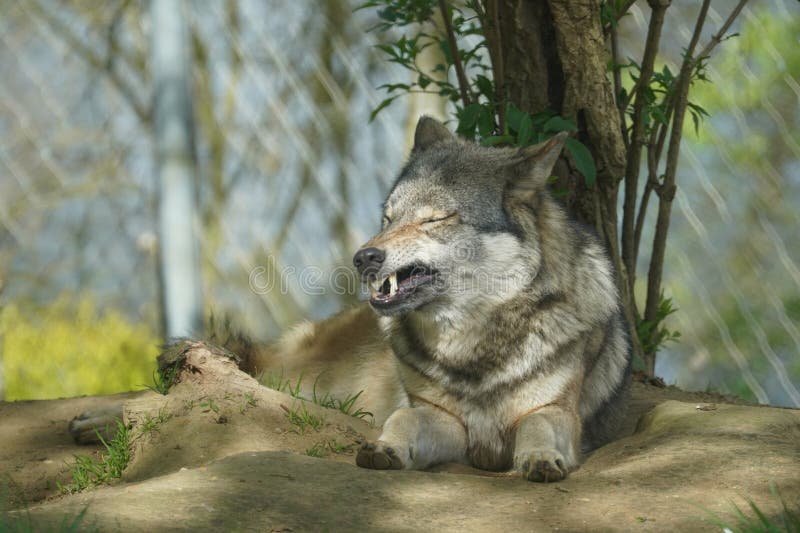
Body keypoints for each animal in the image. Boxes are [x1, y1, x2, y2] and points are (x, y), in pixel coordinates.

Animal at [69, 117, 630, 483]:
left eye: (434, 218)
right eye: (388, 216)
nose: (364, 257)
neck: (473, 345)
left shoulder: (556, 413)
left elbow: (537, 427)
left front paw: (539, 460)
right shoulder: (437, 417)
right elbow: (403, 420)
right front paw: (385, 447)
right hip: (300, 386)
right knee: (183, 392)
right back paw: (93, 421)